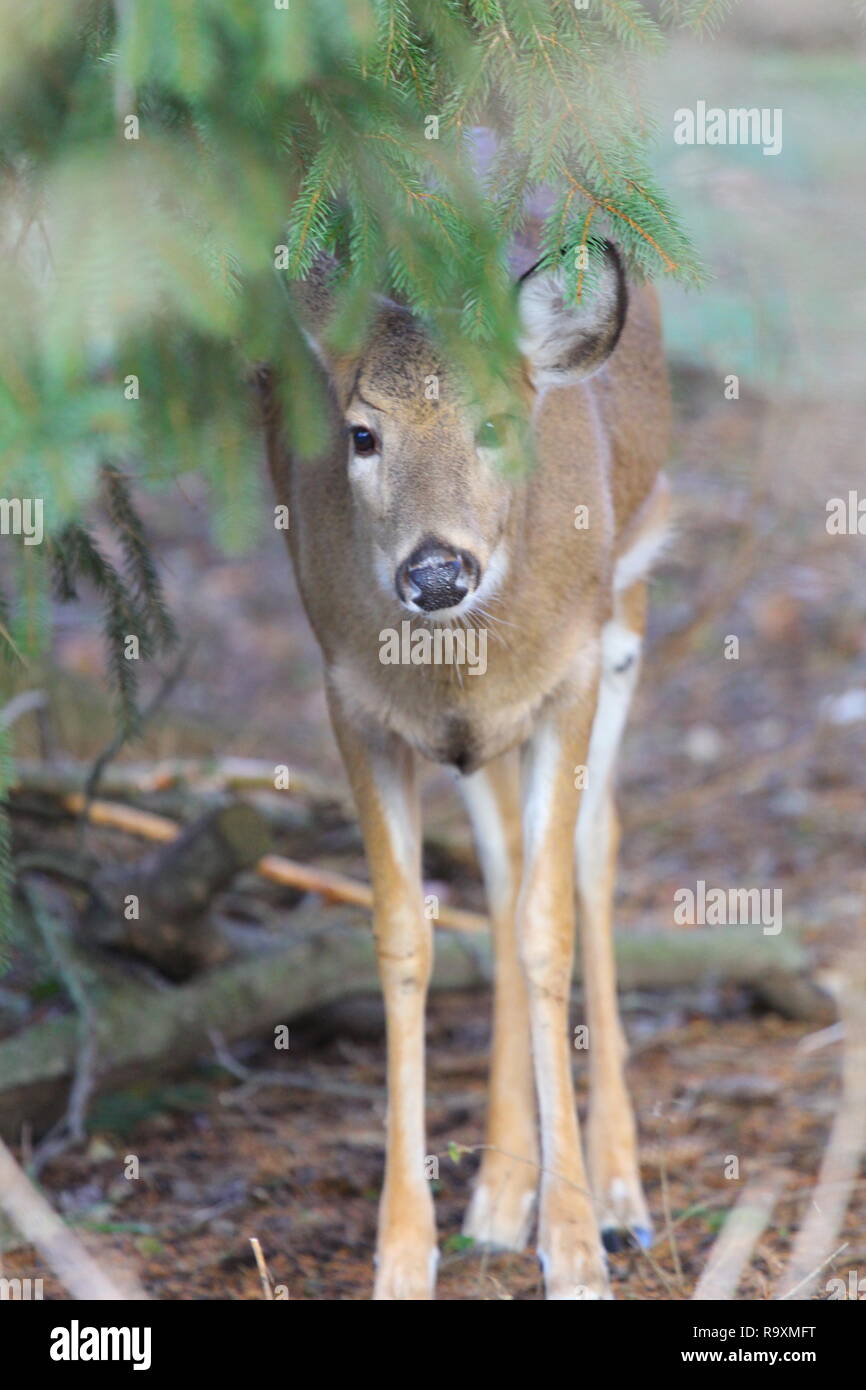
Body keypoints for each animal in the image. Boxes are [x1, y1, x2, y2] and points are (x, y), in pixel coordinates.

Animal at [259, 236, 671, 1300]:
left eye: (496, 425)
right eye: (362, 435)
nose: (436, 571)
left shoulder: (573, 673)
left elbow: (548, 928)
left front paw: (575, 1249)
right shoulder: (351, 695)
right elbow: (407, 936)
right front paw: (406, 1252)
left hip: (632, 604)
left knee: (596, 849)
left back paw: (620, 1194)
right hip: (480, 745)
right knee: (504, 867)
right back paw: (496, 1197)